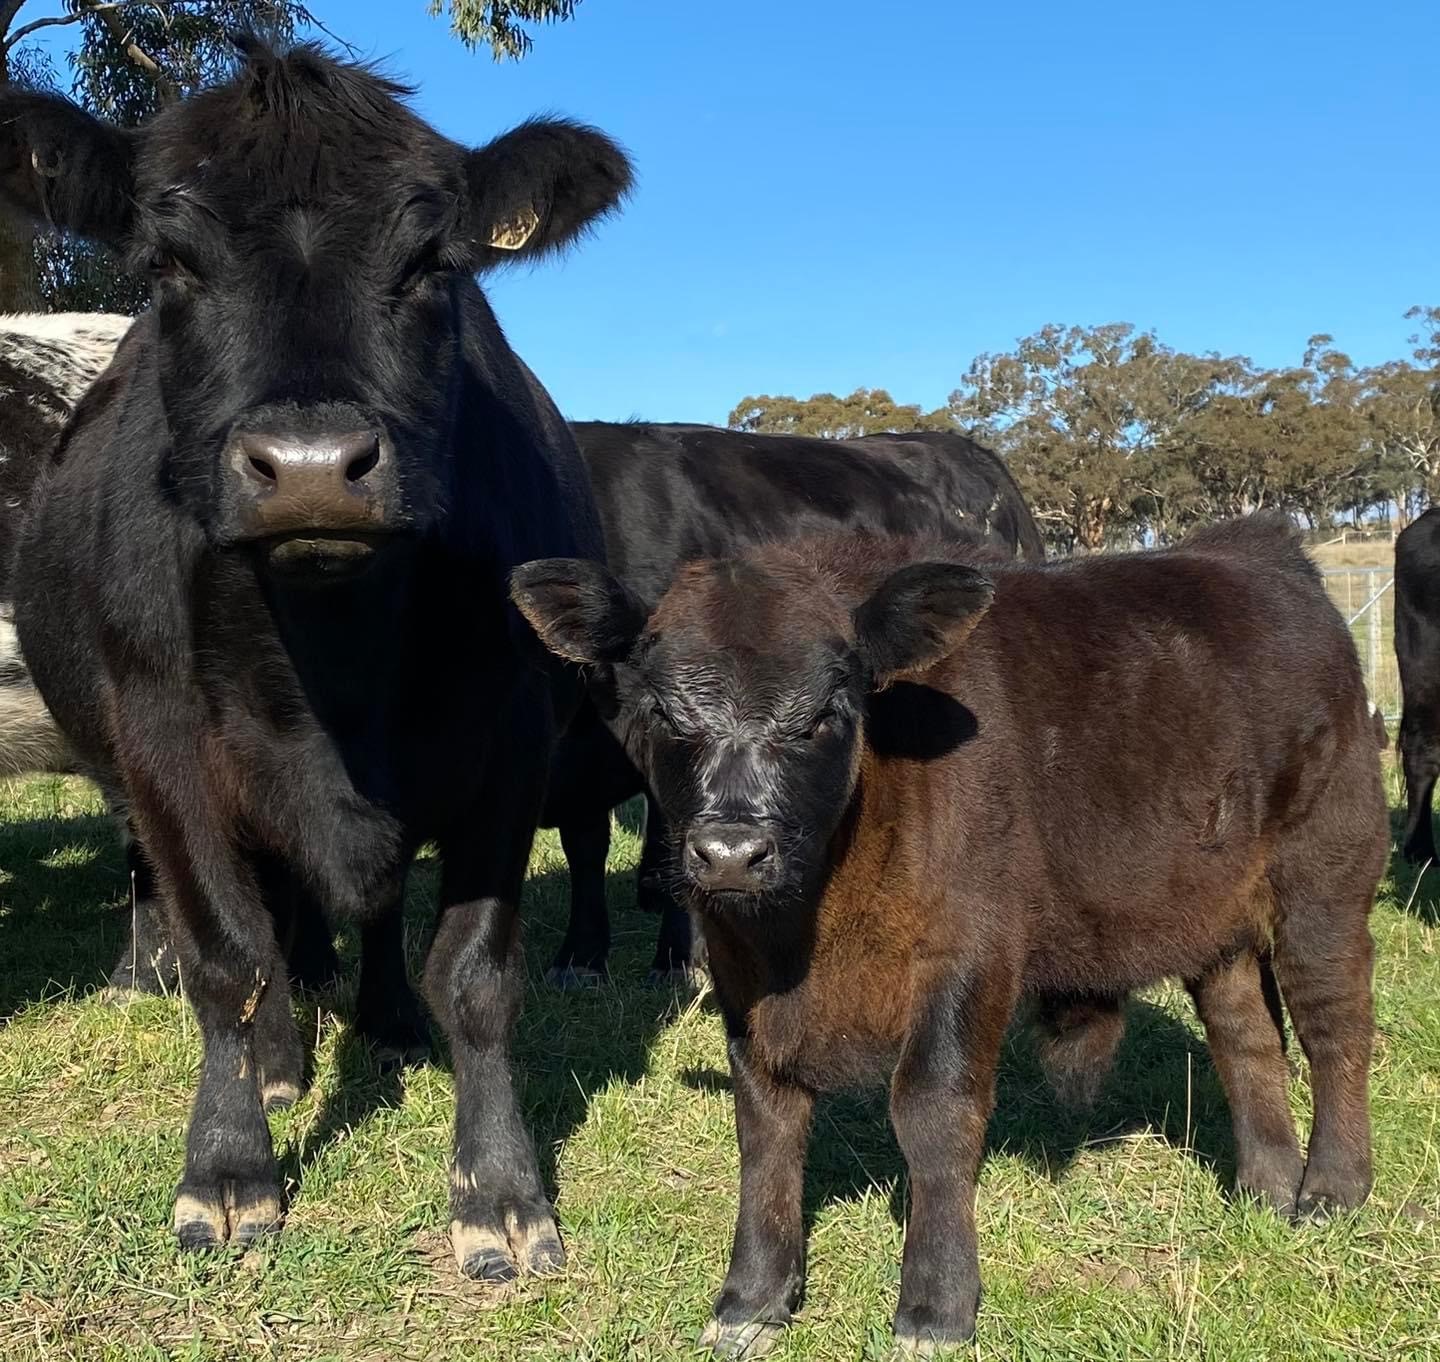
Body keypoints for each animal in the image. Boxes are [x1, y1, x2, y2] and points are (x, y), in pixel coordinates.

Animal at [0, 38, 631, 1280]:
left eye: (433, 263)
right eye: (168, 261)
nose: (306, 466)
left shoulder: (510, 744)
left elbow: (474, 973)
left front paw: (500, 1190)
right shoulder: (164, 747)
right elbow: (226, 957)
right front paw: (229, 1168)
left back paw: (382, 1019)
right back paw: (286, 1068)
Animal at [511, 514, 1387, 1353]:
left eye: (828, 713)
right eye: (664, 713)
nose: (731, 853)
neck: (809, 931)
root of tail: (1261, 550)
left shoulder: (969, 950)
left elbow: (934, 1110)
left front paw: (935, 1305)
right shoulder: (737, 968)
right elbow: (765, 1122)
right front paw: (751, 1301)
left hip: (1326, 878)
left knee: (1333, 1025)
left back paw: (1333, 1191)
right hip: (1217, 918)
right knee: (1247, 1038)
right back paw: (1266, 1188)